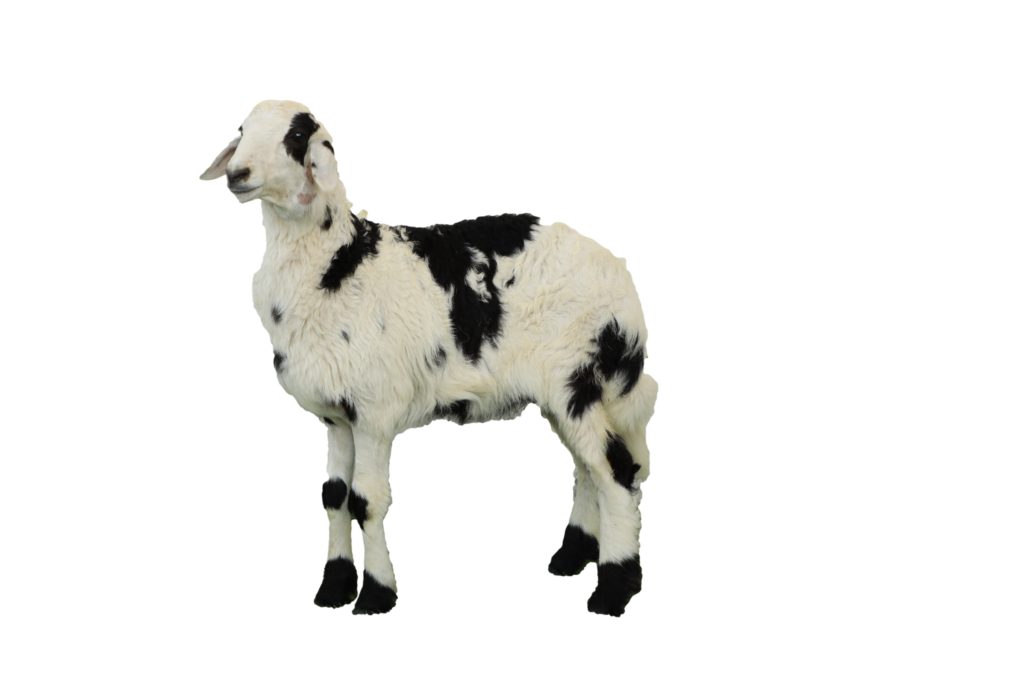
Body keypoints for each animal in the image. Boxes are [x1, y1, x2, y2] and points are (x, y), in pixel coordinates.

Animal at [198, 98, 659, 618]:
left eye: (296, 137)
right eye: (241, 131)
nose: (237, 174)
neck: (339, 266)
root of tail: (621, 279)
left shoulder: (374, 410)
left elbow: (366, 500)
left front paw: (376, 595)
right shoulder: (336, 416)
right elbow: (334, 496)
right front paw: (334, 588)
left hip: (577, 375)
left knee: (616, 472)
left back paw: (612, 589)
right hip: (565, 391)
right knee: (587, 469)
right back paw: (572, 556)